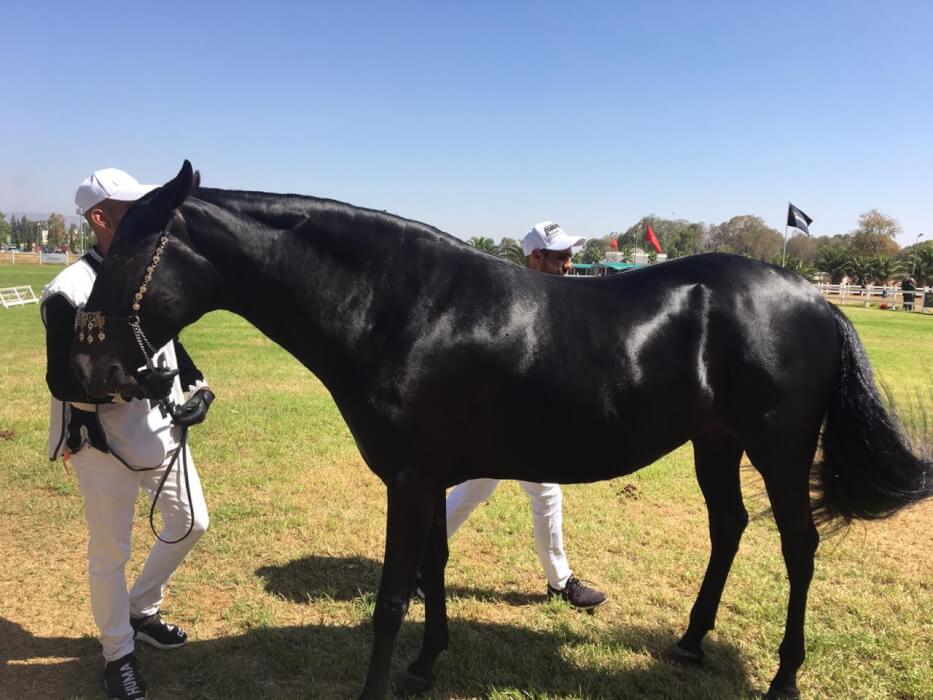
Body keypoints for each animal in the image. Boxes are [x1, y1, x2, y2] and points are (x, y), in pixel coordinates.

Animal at [71, 161, 931, 700]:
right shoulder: (429, 477)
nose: (94, 369)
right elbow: (433, 569)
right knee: (728, 527)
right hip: (714, 442)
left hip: (779, 448)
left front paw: (382, 682)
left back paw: (784, 677)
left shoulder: (410, 480)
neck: (403, 307)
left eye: (132, 255)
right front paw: (425, 667)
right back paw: (688, 644)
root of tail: (813, 299)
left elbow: (392, 596)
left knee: (798, 545)